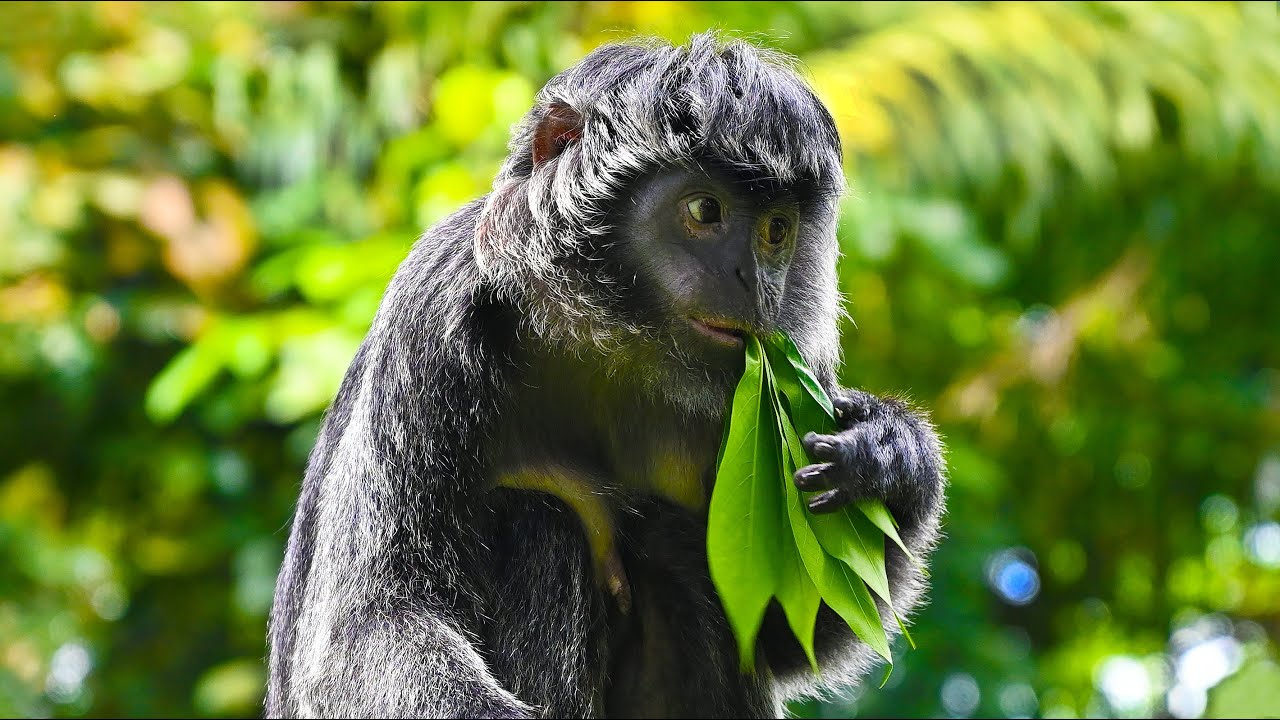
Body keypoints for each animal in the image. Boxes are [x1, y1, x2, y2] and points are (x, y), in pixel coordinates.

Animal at [266, 32, 945, 719]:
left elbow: (786, 633)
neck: (608, 341)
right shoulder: (434, 303)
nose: (756, 281)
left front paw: (888, 456)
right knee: (543, 517)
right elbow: (368, 630)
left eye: (777, 230)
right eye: (705, 210)